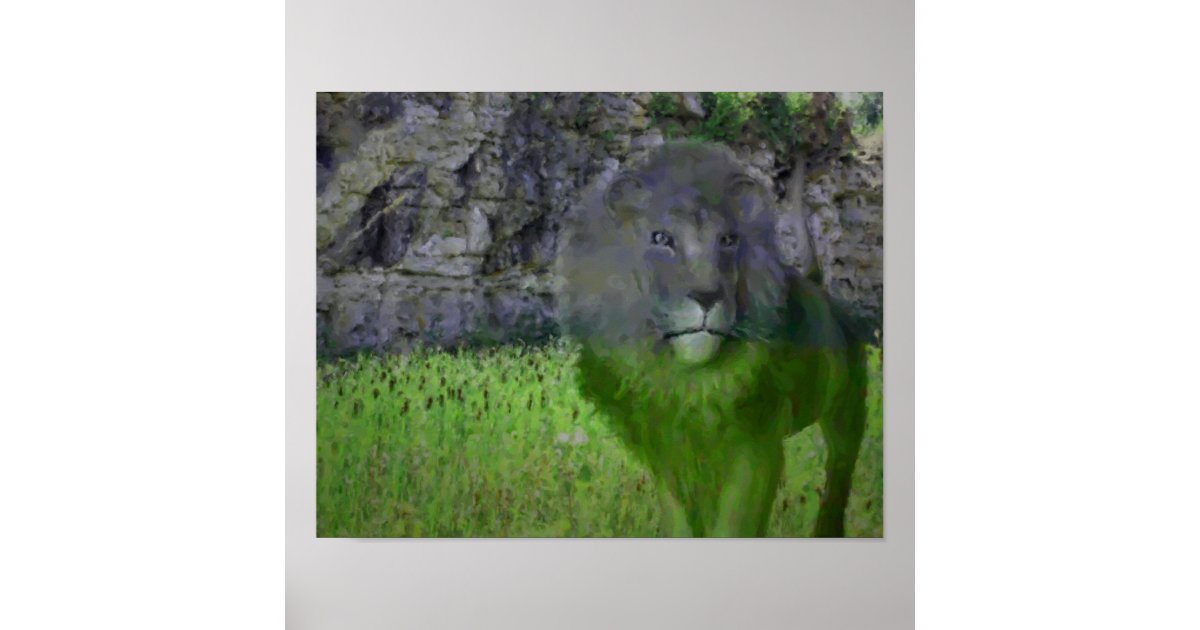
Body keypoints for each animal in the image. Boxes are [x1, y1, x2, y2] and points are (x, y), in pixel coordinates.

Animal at [556, 142, 870, 537]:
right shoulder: (668, 451)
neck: (686, 381)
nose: (707, 297)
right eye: (661, 238)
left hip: (848, 411)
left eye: (728, 240)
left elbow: (734, 523)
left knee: (840, 470)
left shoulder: (757, 448)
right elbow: (680, 520)